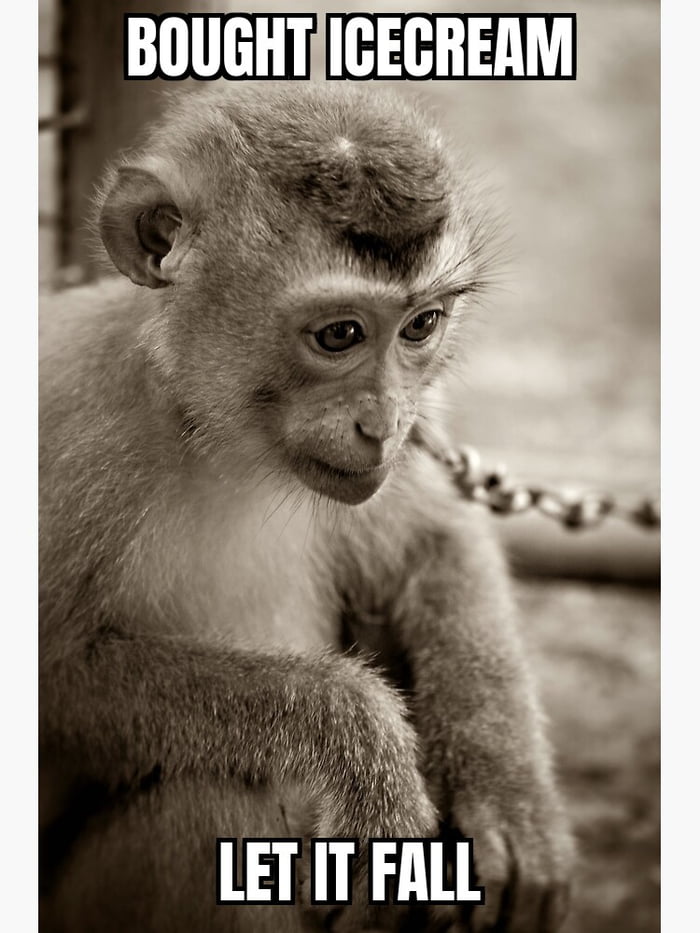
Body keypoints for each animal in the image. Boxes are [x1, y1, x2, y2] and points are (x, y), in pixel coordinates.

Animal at [39, 83, 573, 933]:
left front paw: (508, 793)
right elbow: (53, 671)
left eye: (422, 325)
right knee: (210, 809)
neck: (212, 431)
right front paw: (356, 736)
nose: (383, 424)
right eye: (340, 334)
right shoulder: (78, 425)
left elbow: (435, 540)